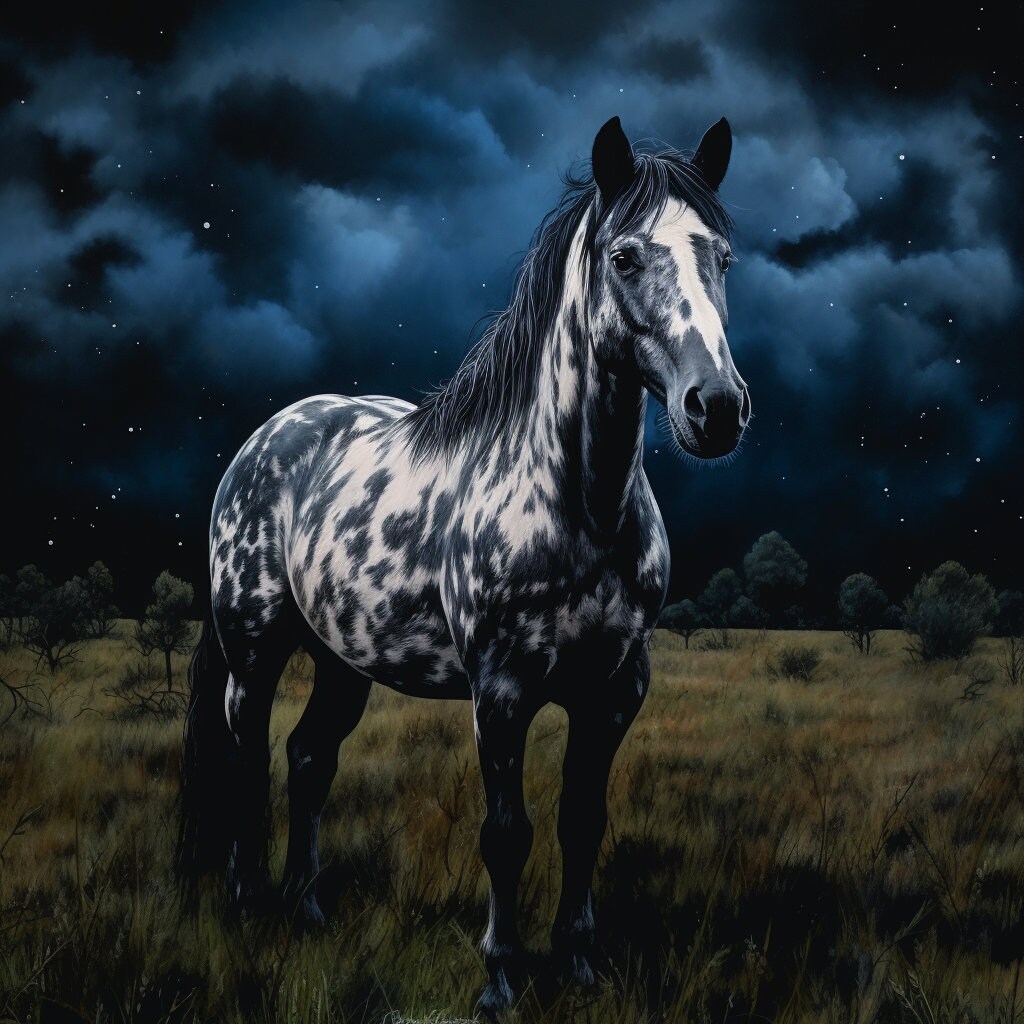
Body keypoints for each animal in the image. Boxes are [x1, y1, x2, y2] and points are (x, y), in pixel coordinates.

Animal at [179, 114, 750, 1015]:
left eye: (721, 257)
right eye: (625, 257)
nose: (717, 408)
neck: (579, 506)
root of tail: (267, 439)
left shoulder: (614, 691)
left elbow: (581, 822)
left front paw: (578, 965)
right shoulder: (502, 693)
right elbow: (506, 835)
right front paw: (500, 980)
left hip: (343, 663)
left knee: (309, 761)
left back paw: (308, 910)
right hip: (254, 653)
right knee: (247, 759)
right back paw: (246, 905)